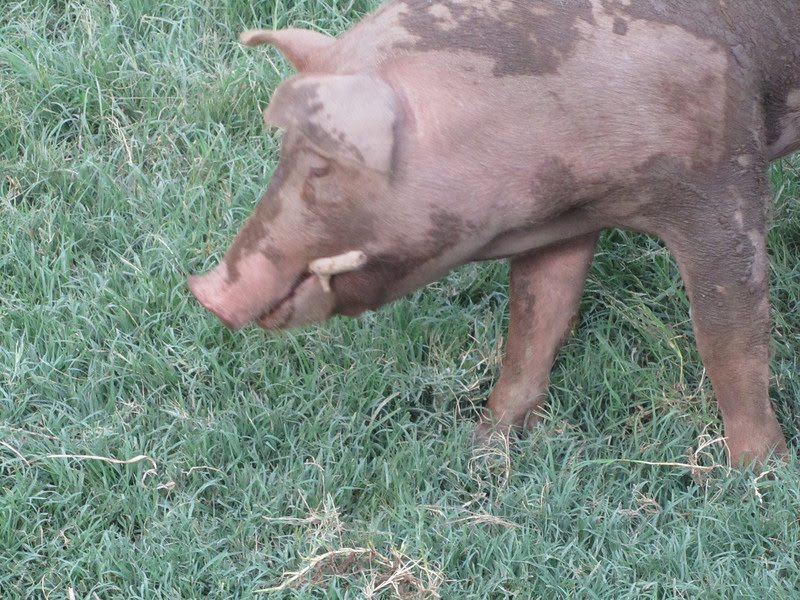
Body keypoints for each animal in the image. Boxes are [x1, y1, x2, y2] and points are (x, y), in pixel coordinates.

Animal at [189, 0, 800, 467]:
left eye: (320, 165)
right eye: (283, 152)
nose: (205, 290)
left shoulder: (724, 179)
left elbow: (729, 334)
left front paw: (758, 473)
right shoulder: (560, 222)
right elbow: (535, 319)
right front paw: (485, 445)